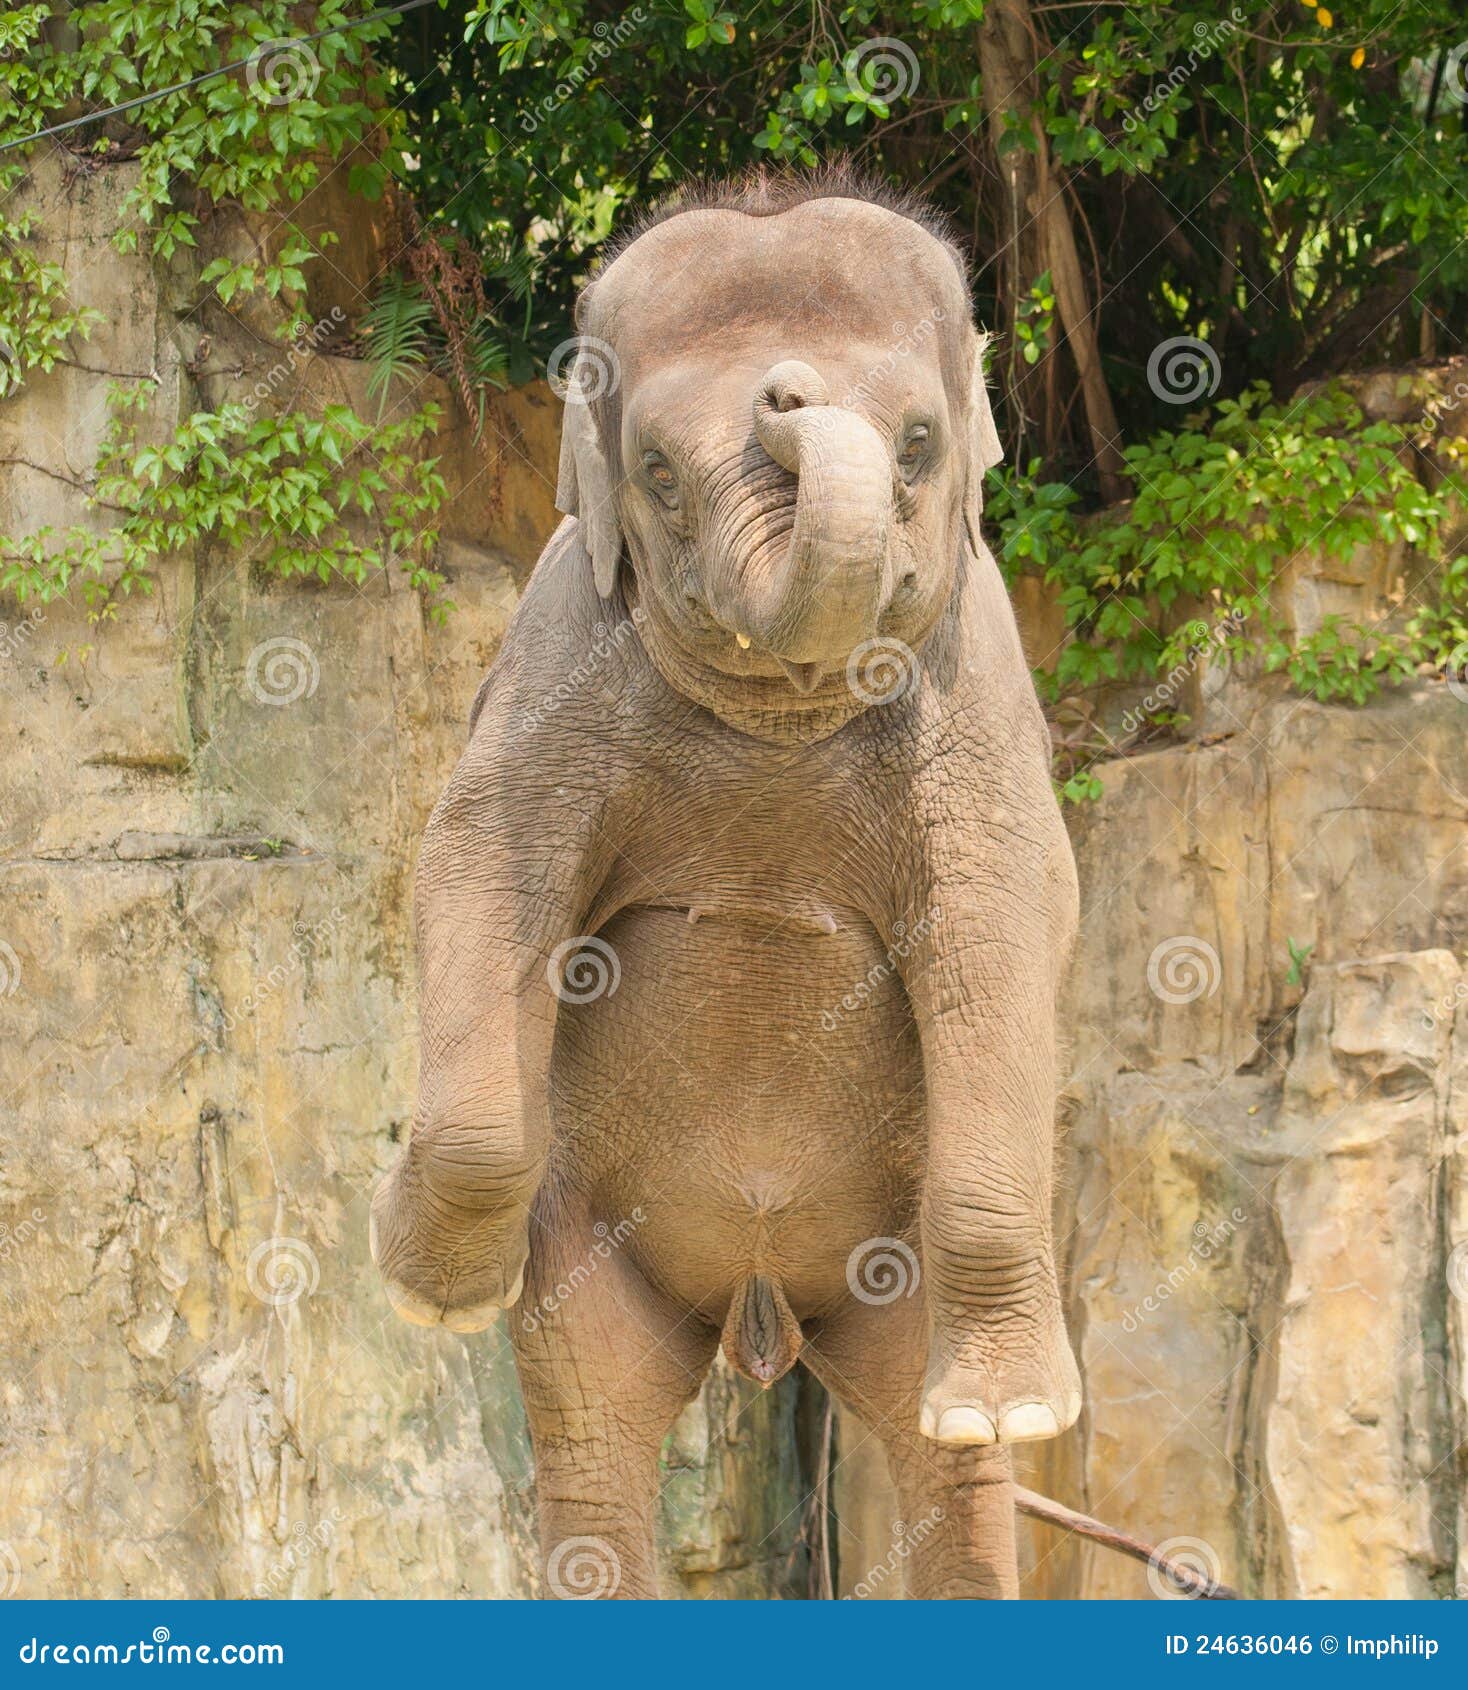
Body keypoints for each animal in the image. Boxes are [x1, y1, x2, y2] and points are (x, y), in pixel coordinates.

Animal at [370, 168, 1081, 1601]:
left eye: (918, 443)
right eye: (654, 470)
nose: (788, 395)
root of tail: (761, 1311)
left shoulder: (979, 676)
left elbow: (1003, 922)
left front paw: (1025, 1407)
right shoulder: (555, 643)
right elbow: (475, 859)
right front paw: (428, 1291)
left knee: (948, 1470)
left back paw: (982, 1413)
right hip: (590, 1240)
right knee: (595, 1422)